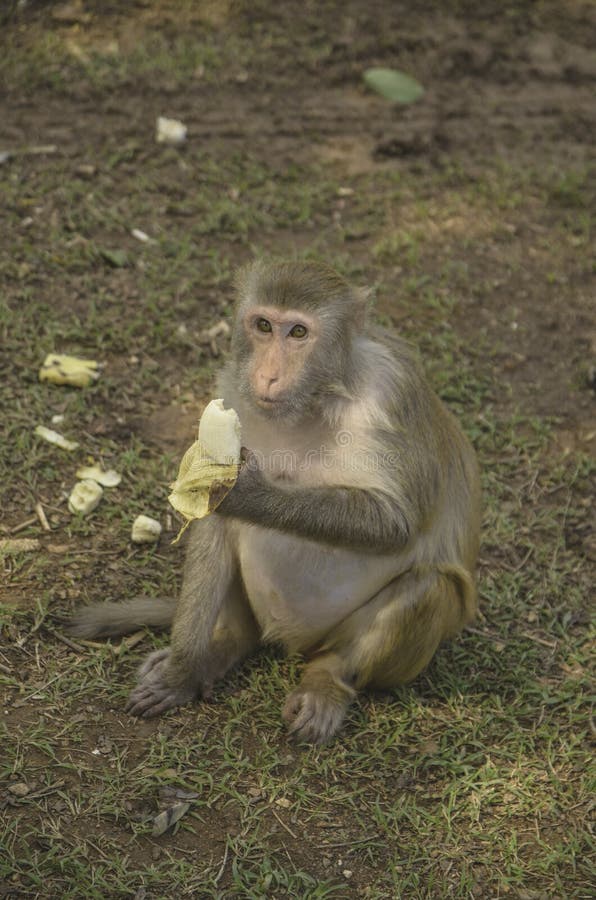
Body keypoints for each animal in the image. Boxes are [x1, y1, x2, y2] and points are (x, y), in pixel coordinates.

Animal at [68, 260, 481, 744]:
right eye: (264, 325)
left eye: (298, 332)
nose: (267, 375)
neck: (319, 397)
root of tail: (290, 643)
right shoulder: (231, 388)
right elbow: (212, 522)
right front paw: (181, 673)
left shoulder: (392, 391)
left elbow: (397, 522)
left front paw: (245, 492)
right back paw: (222, 646)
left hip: (341, 641)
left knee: (427, 588)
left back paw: (328, 681)